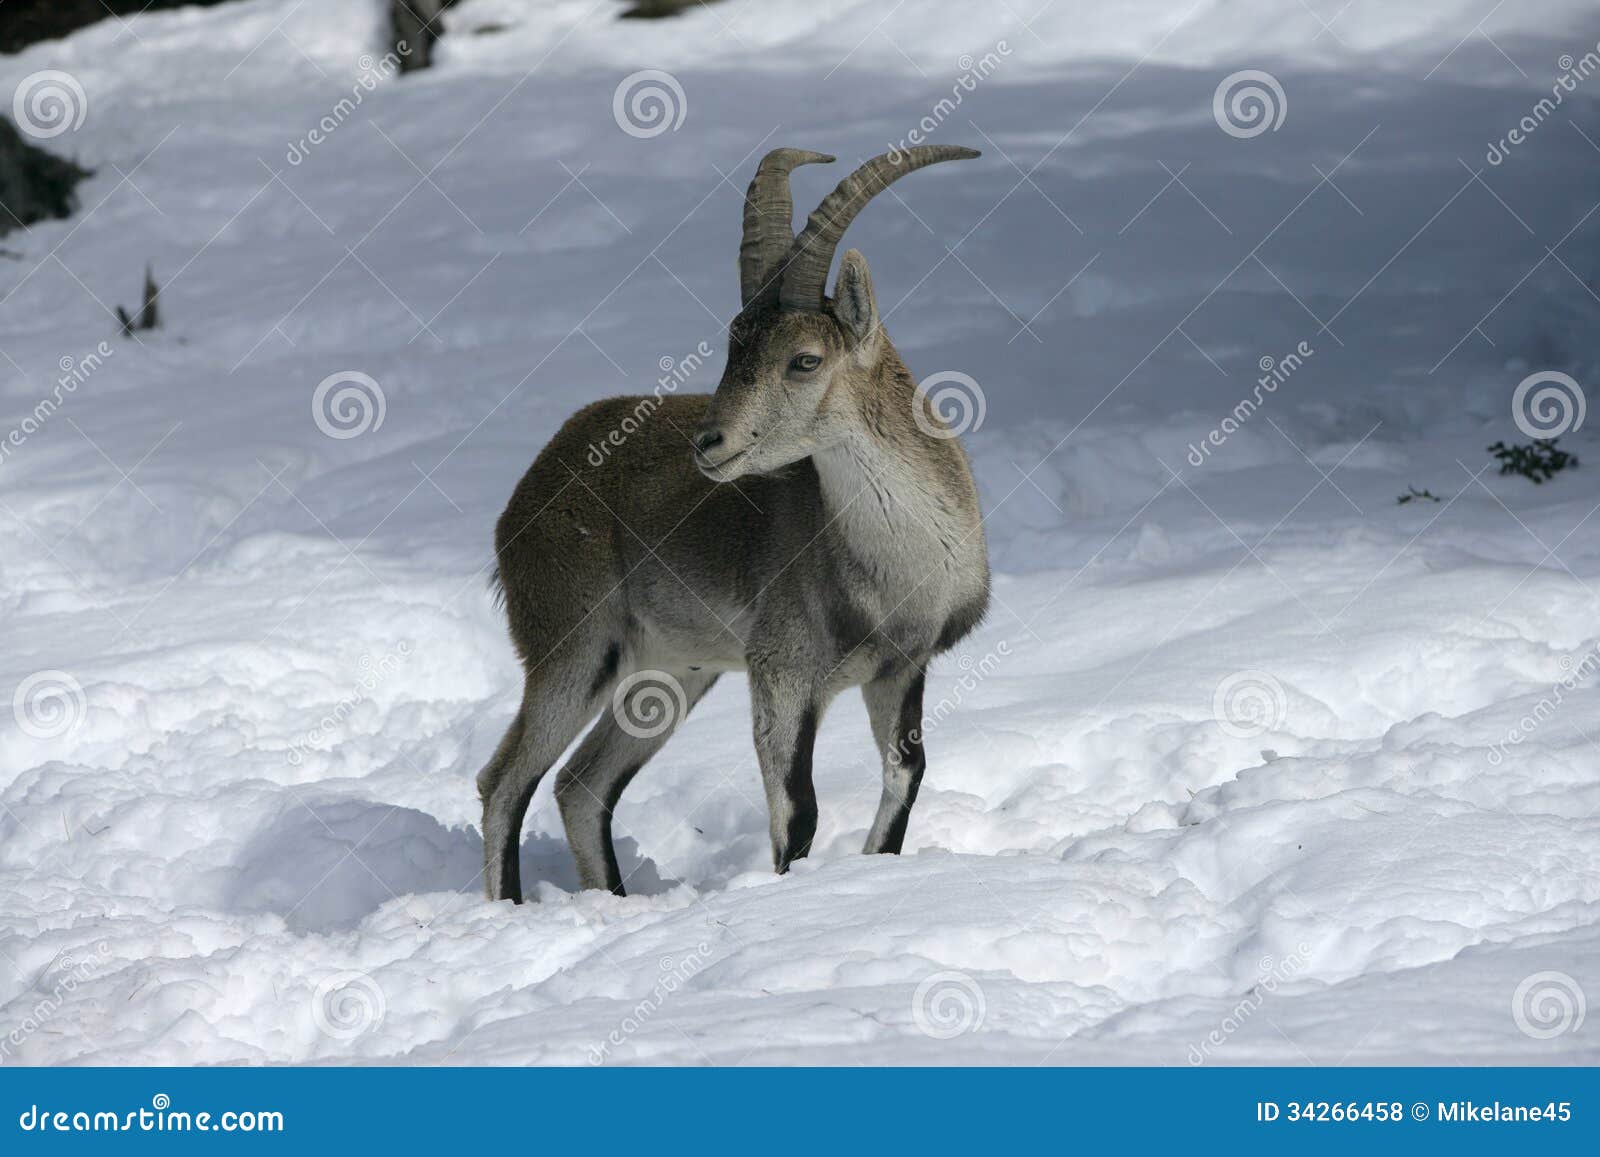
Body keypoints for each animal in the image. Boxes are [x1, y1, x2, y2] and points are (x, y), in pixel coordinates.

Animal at [479, 145, 991, 902]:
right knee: (506, 781)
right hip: (572, 648)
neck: (902, 565)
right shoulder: (782, 672)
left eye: (804, 359)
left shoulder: (899, 669)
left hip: (667, 674)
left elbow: (904, 779)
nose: (710, 444)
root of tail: (525, 496)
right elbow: (796, 812)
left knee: (579, 783)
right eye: (731, 348)